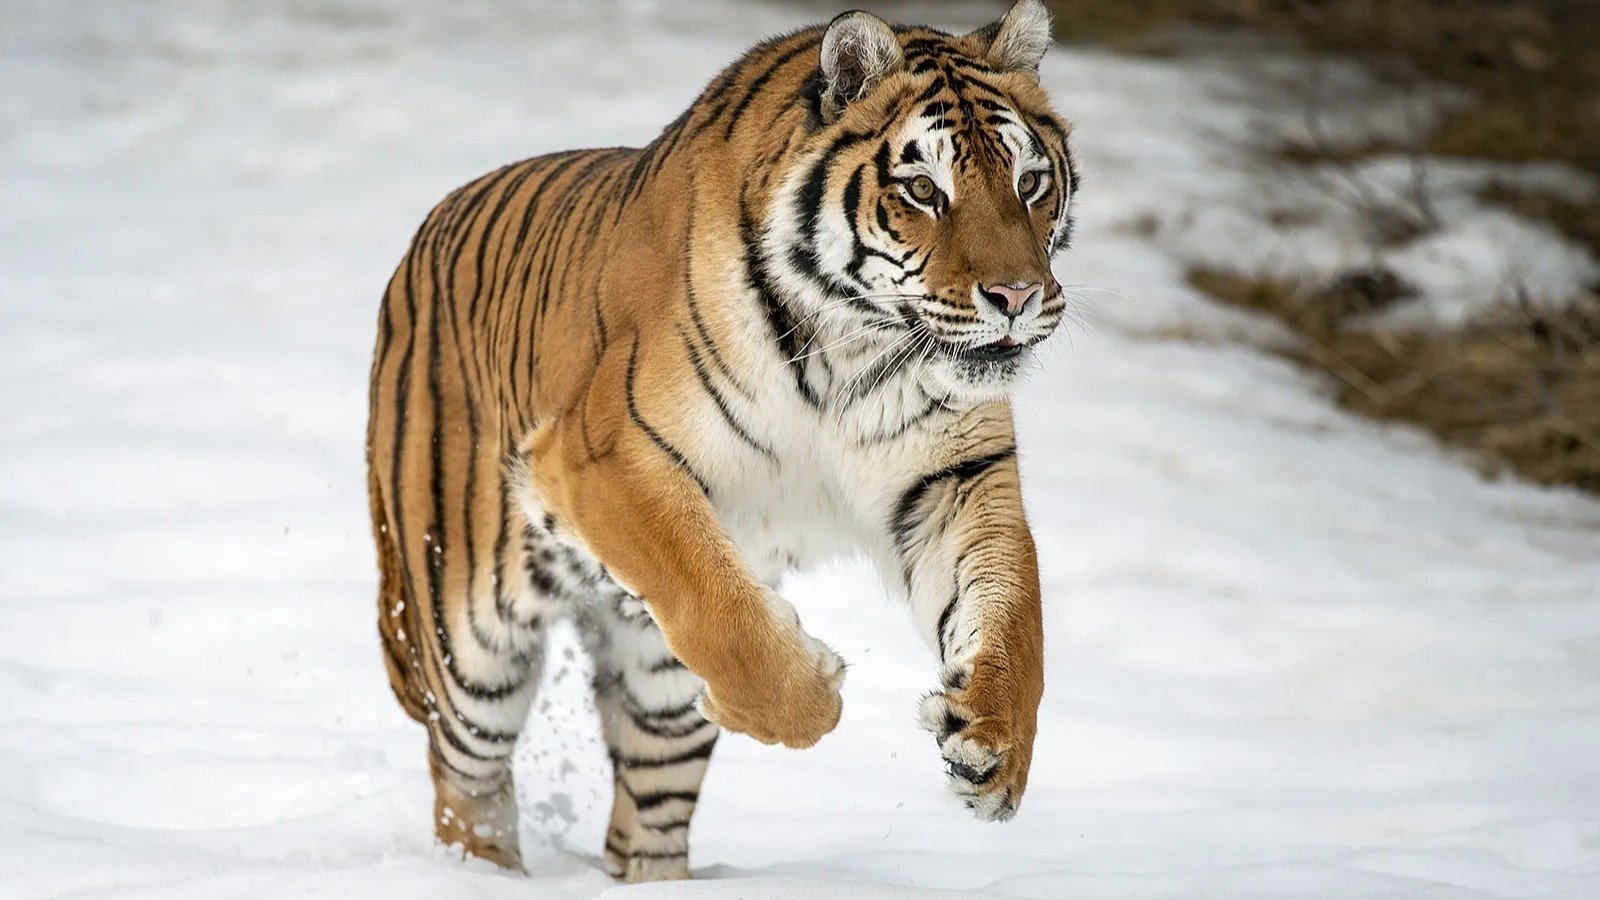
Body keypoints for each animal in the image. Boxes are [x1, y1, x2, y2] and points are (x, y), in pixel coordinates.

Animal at [367, 0, 1076, 883]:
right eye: (923, 190)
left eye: (1030, 182)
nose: (1017, 297)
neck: (854, 347)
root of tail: (421, 237)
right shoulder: (606, 455)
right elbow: (718, 606)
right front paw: (815, 694)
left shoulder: (954, 478)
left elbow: (1013, 613)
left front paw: (993, 747)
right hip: (464, 640)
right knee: (467, 780)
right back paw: (483, 876)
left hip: (654, 687)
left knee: (648, 812)